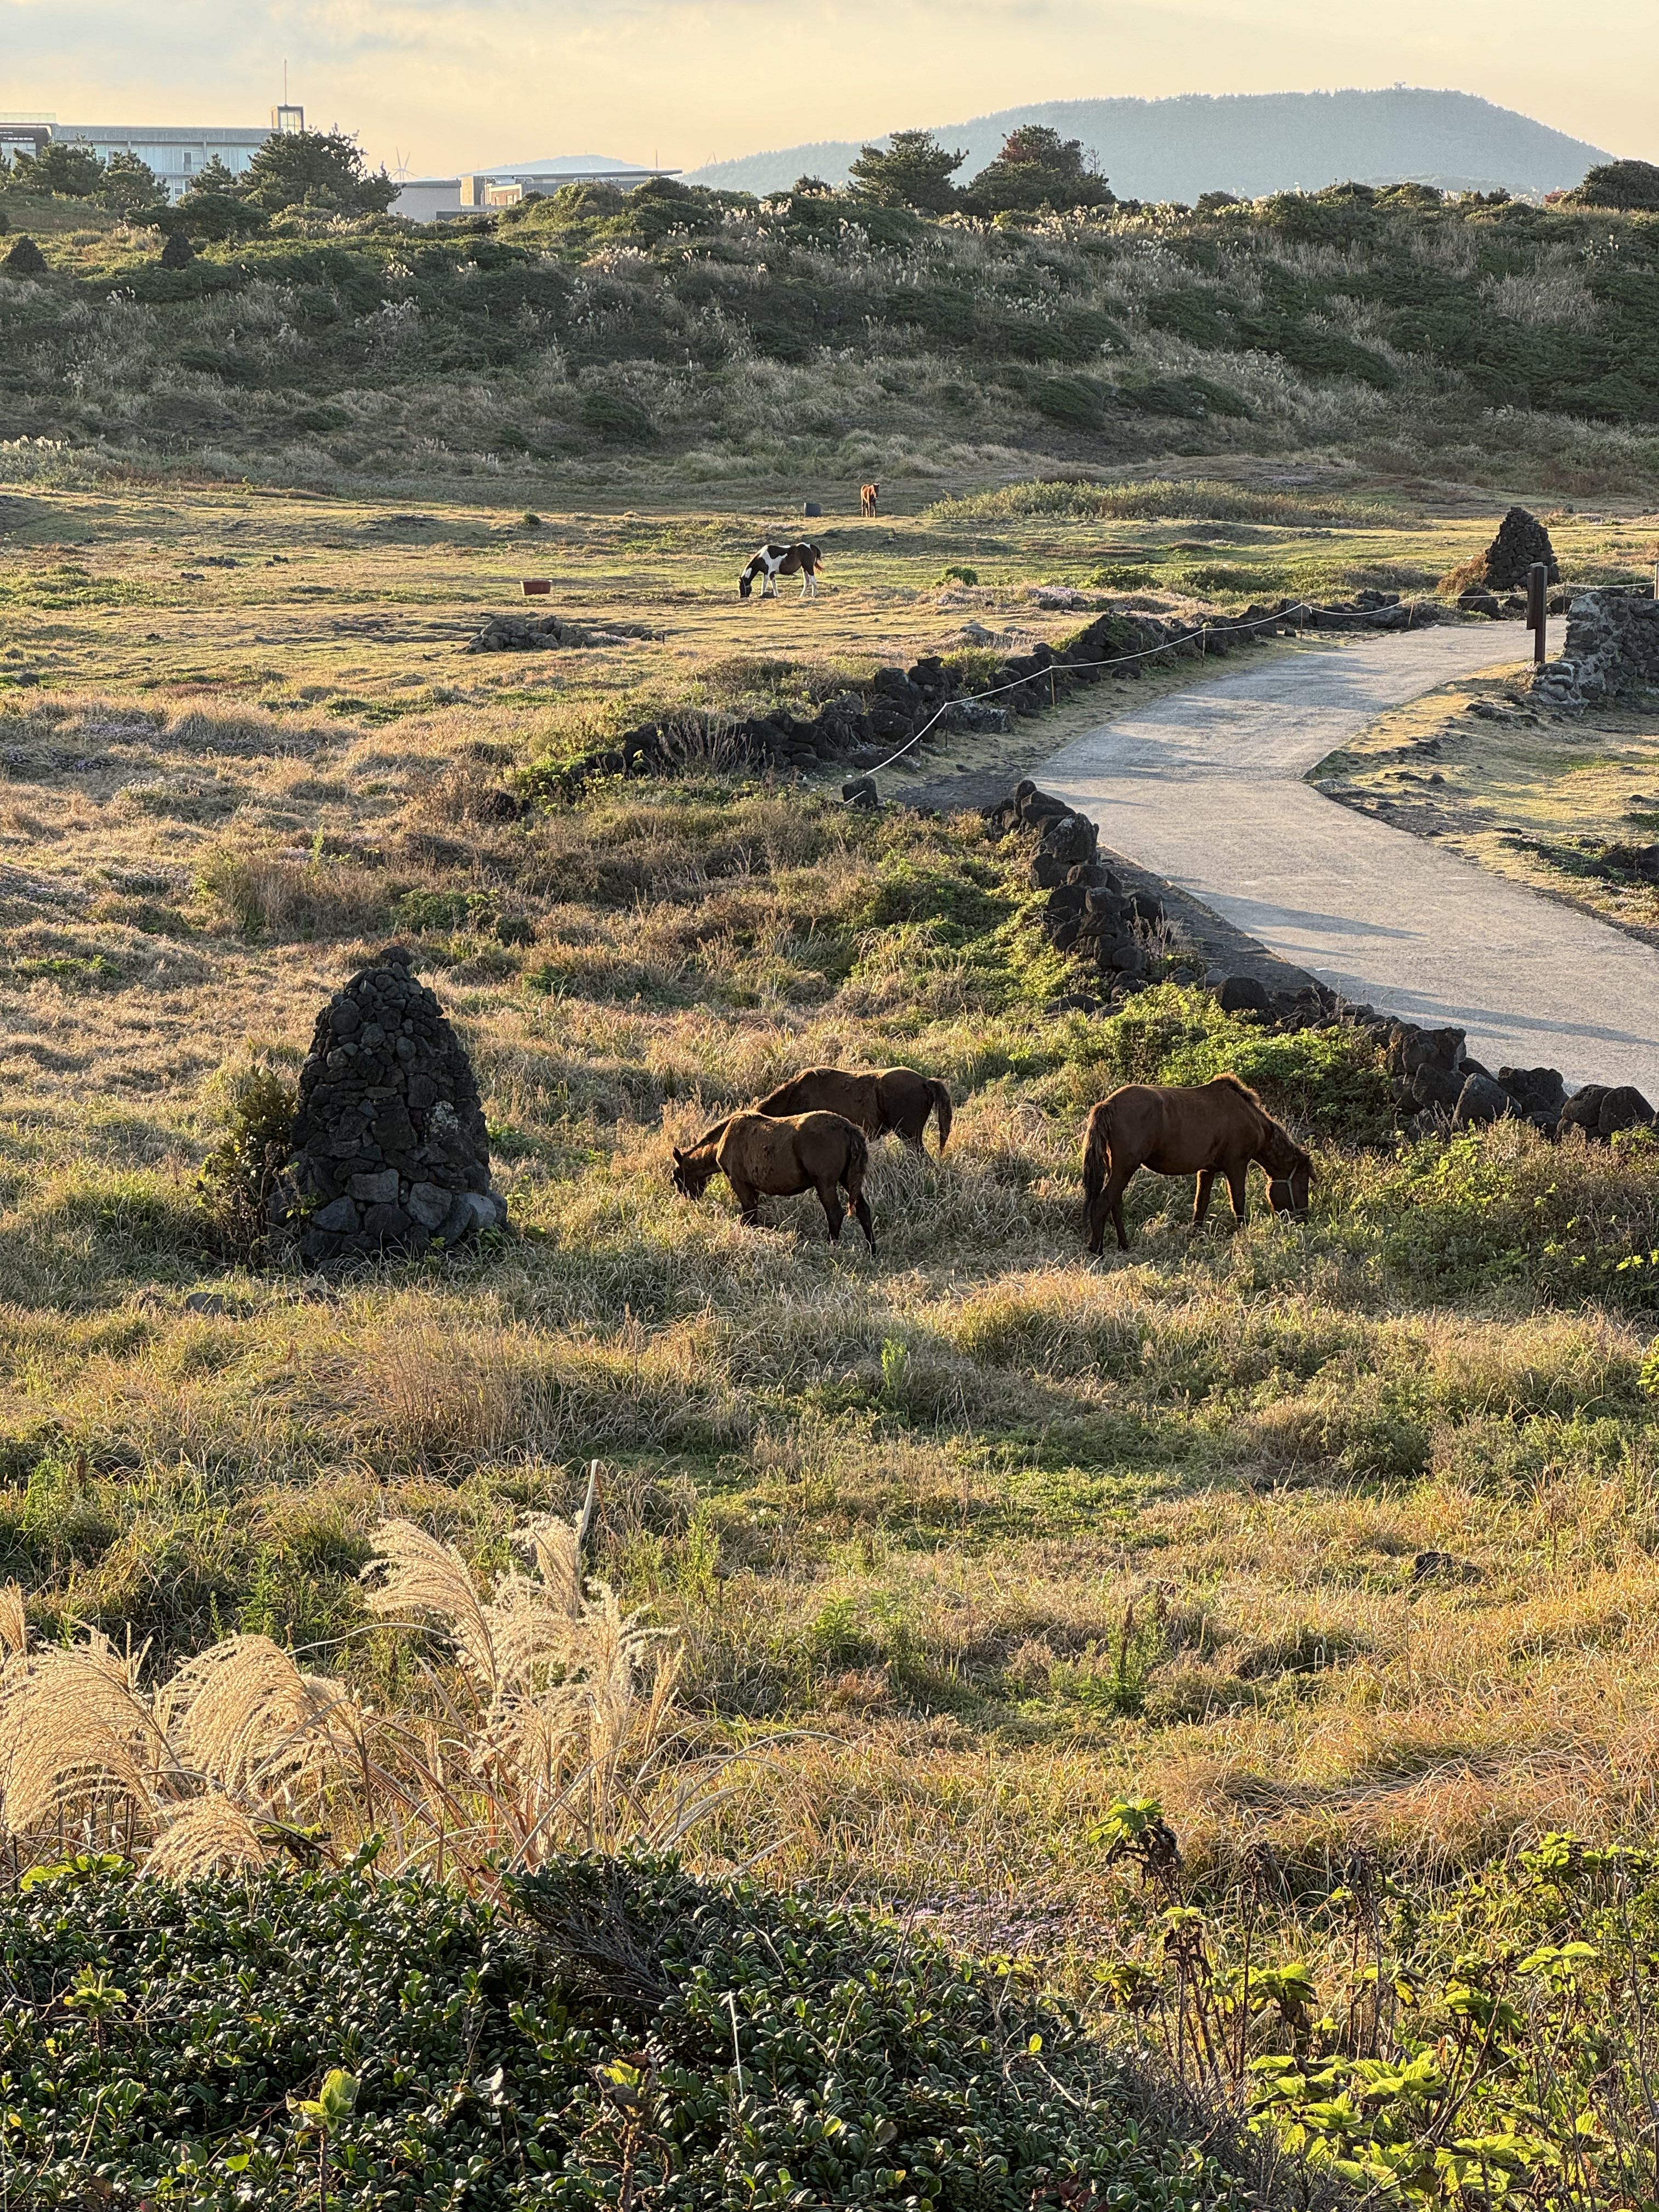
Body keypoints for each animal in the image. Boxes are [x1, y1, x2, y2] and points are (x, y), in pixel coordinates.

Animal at [676, 1106, 884, 1248]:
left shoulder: (739, 1182)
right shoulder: (752, 1187)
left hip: (825, 1183)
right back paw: (872, 1251)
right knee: (863, 1210)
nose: (687, 1199)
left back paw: (830, 1246)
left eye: (677, 1177)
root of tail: (849, 1129)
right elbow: (753, 1215)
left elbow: (749, 1215)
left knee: (835, 1213)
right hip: (848, 1180)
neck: (725, 1137)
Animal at [738, 541, 827, 601]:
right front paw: (777, 596)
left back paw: (814, 595)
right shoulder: (771, 574)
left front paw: (762, 596)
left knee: (813, 581)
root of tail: (812, 547)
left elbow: (764, 585)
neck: (762, 557)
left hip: (809, 568)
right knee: (807, 582)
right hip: (804, 569)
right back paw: (801, 596)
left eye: (742, 586)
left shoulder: (767, 573)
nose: (741, 597)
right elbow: (774, 585)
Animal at [1084, 1075, 1318, 1256]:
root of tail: (1108, 1105)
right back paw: (1097, 1249)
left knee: (1116, 1204)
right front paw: (1243, 1232)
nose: (1303, 1218)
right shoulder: (1237, 1165)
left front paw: (1195, 1235)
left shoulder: (1207, 1170)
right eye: (1303, 1186)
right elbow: (1238, 1200)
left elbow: (1201, 1203)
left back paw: (1124, 1245)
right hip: (1126, 1168)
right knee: (1103, 1203)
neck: (1249, 1116)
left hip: (1119, 1168)